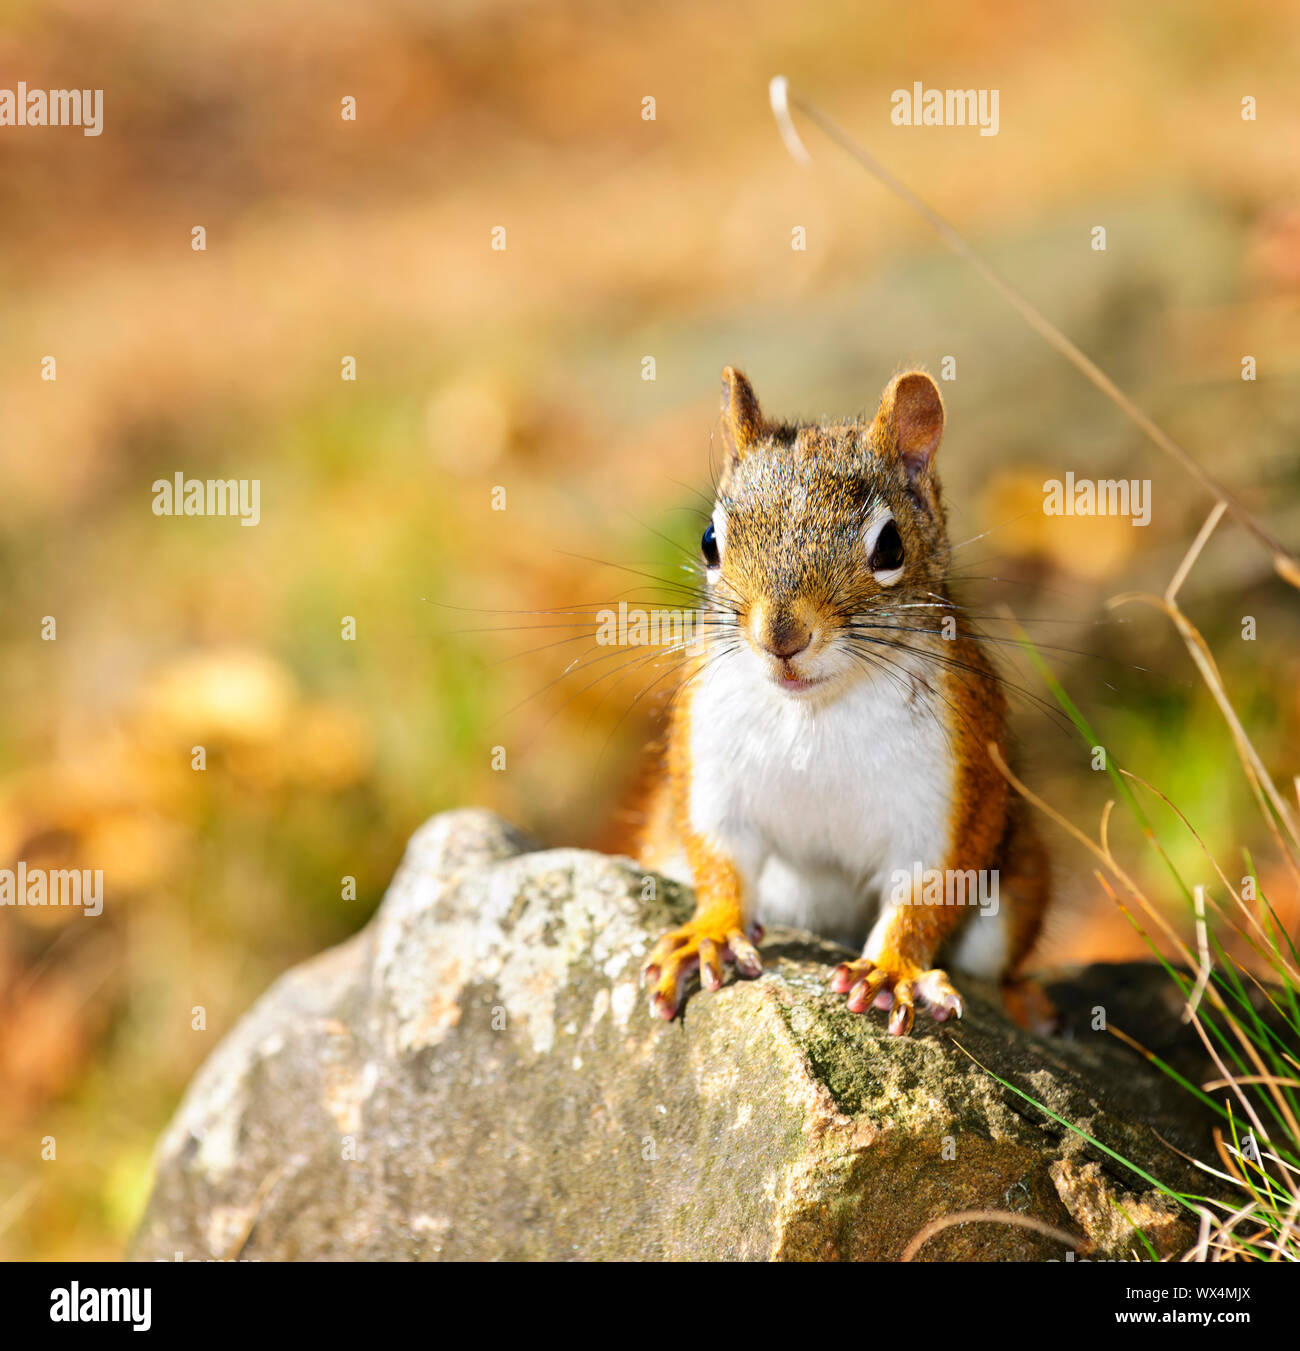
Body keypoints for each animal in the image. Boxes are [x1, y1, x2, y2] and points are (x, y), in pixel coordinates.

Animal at [637, 366, 1050, 1035]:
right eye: (709, 542)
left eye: (890, 548)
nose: (781, 638)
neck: (815, 710)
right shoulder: (710, 758)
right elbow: (720, 855)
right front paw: (710, 932)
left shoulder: (955, 784)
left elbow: (928, 889)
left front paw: (890, 969)